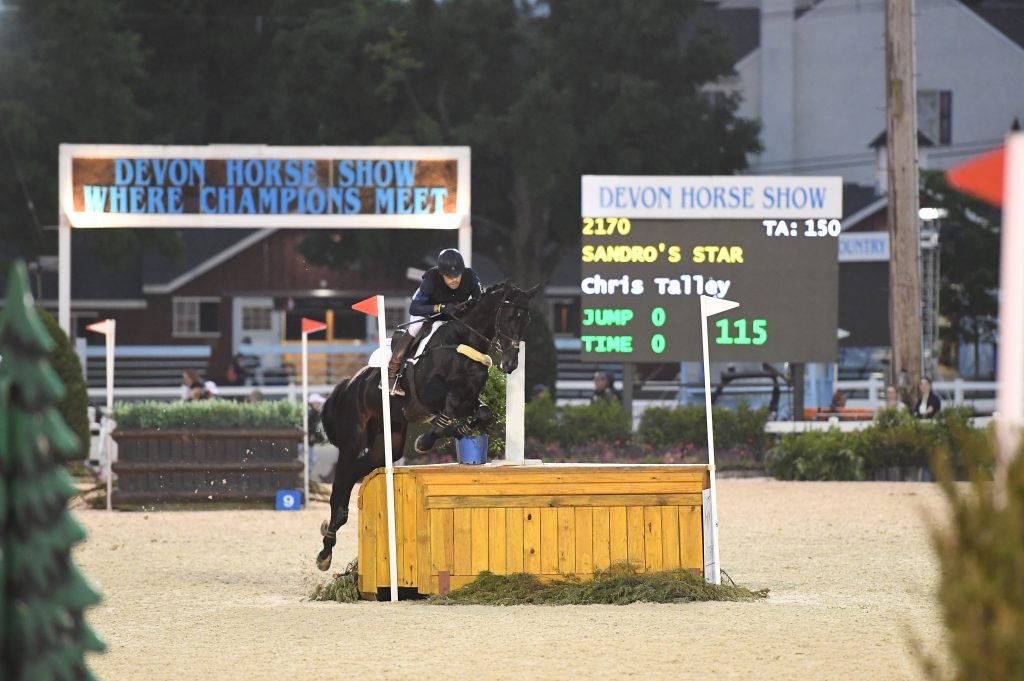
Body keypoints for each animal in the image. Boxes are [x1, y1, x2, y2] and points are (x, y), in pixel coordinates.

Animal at [315, 281, 538, 571]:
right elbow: (449, 403)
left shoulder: (470, 398)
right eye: (510, 316)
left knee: (353, 475)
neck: (462, 341)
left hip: (387, 443)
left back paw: (337, 523)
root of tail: (350, 383)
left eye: (527, 320)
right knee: (340, 483)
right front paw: (428, 439)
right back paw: (325, 551)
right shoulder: (430, 392)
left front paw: (454, 431)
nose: (510, 364)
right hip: (354, 439)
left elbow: (482, 412)